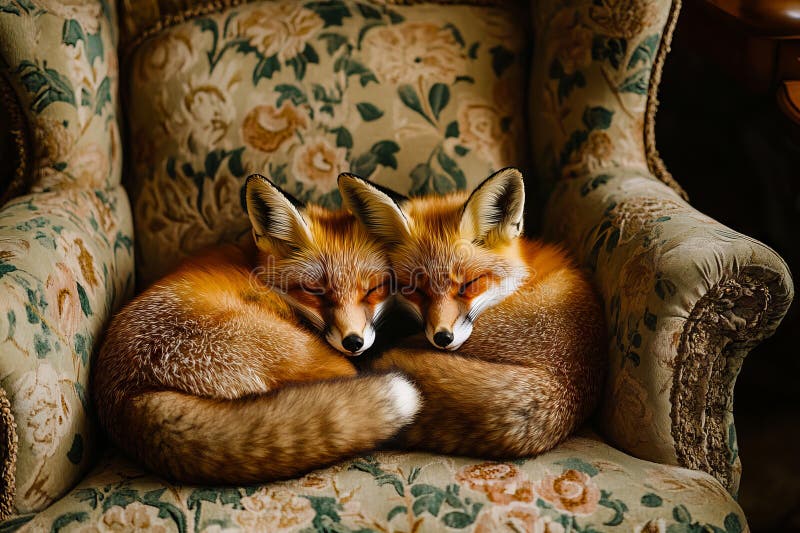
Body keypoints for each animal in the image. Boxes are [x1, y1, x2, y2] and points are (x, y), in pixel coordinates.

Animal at [92, 174, 420, 484]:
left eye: (373, 289)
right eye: (315, 291)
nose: (353, 342)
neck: (255, 268)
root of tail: (131, 396)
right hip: (311, 356)